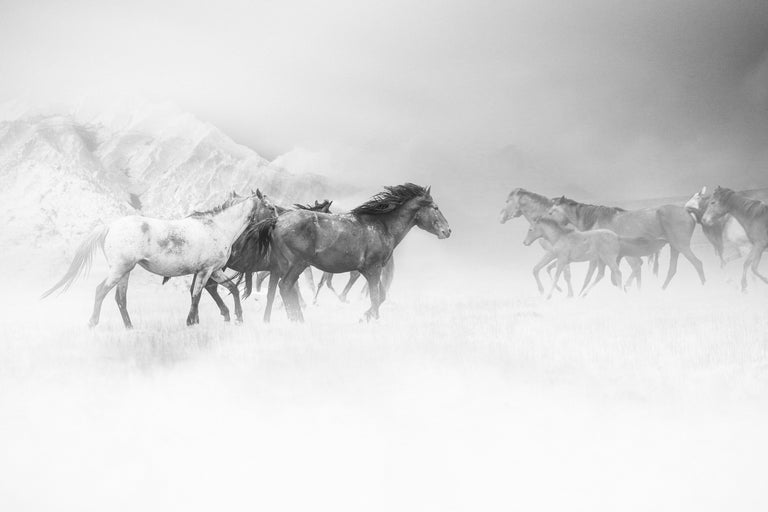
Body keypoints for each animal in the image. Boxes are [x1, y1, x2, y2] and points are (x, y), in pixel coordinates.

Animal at [41, 191, 268, 328]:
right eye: (270, 207)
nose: (275, 220)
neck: (217, 227)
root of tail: (110, 226)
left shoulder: (215, 270)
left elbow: (231, 289)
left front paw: (237, 317)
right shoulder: (205, 271)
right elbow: (197, 296)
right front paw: (191, 322)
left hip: (125, 272)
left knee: (120, 299)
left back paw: (130, 328)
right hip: (119, 270)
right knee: (100, 291)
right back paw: (93, 322)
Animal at [254, 183, 450, 322]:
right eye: (435, 207)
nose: (447, 231)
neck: (383, 226)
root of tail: (277, 221)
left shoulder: (369, 270)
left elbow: (381, 296)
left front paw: (364, 317)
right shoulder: (373, 269)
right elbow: (375, 297)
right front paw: (373, 320)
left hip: (282, 267)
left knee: (278, 289)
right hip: (297, 264)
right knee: (286, 287)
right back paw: (297, 320)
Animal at [551, 196, 704, 289]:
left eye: (552, 211)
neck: (596, 220)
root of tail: (686, 210)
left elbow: (592, 275)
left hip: (681, 246)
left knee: (697, 264)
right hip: (675, 247)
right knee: (672, 270)